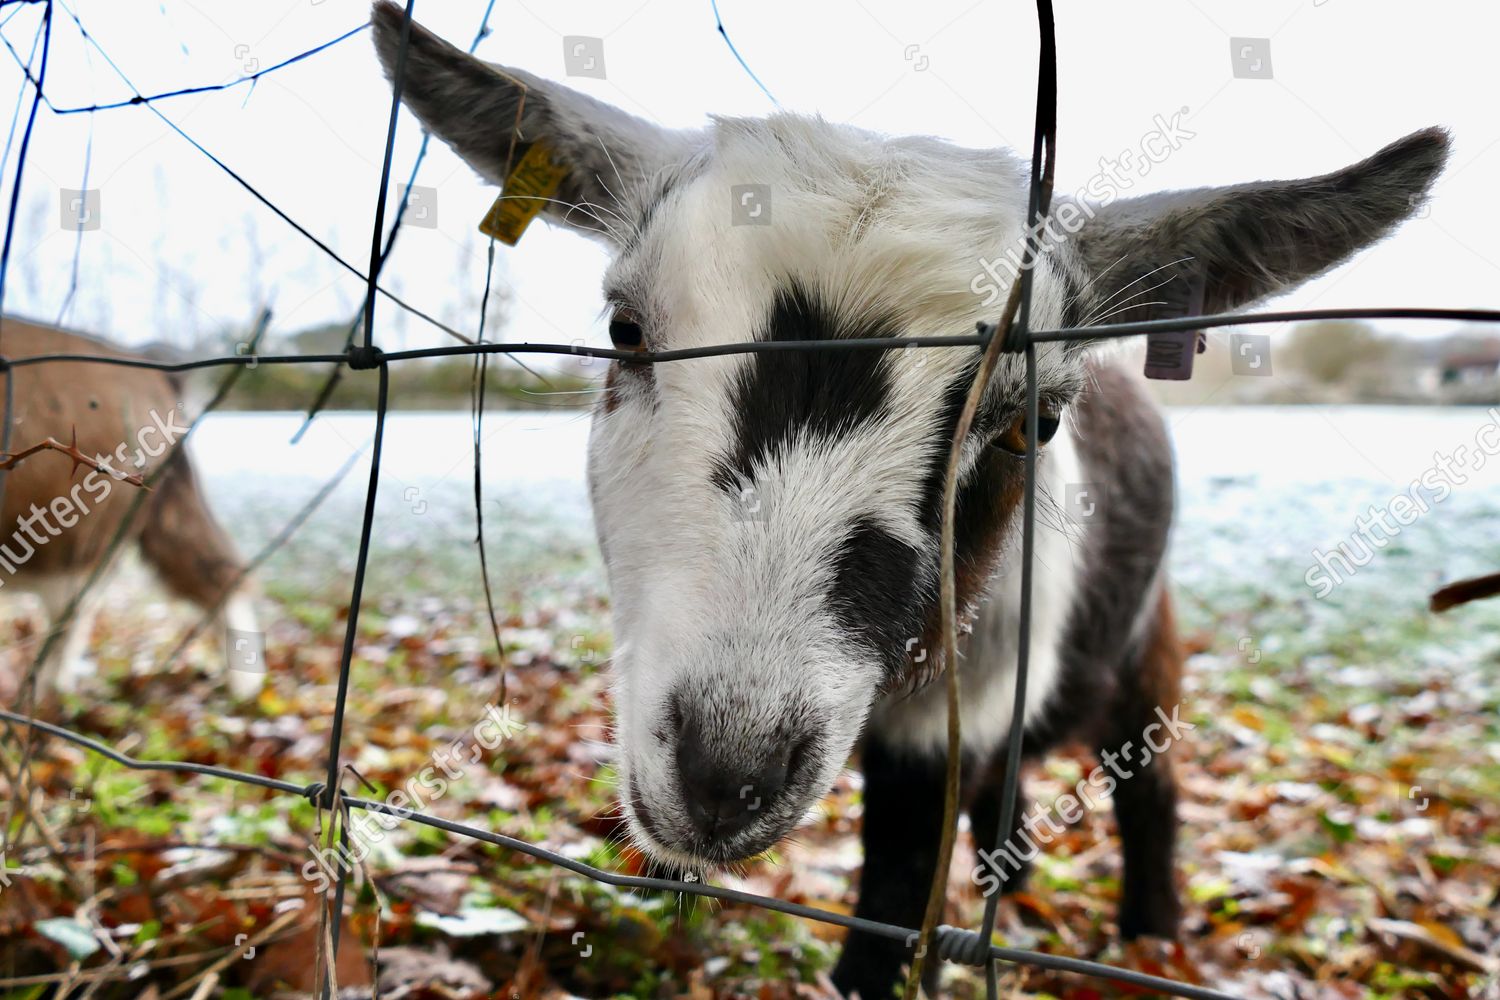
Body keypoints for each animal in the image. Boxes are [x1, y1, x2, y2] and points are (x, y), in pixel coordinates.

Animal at [370, 5, 1447, 994]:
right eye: (625, 331)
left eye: (1032, 421)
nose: (726, 778)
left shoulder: (946, 722)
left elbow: (893, 892)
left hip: (1144, 640)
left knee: (1150, 787)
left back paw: (1150, 937)